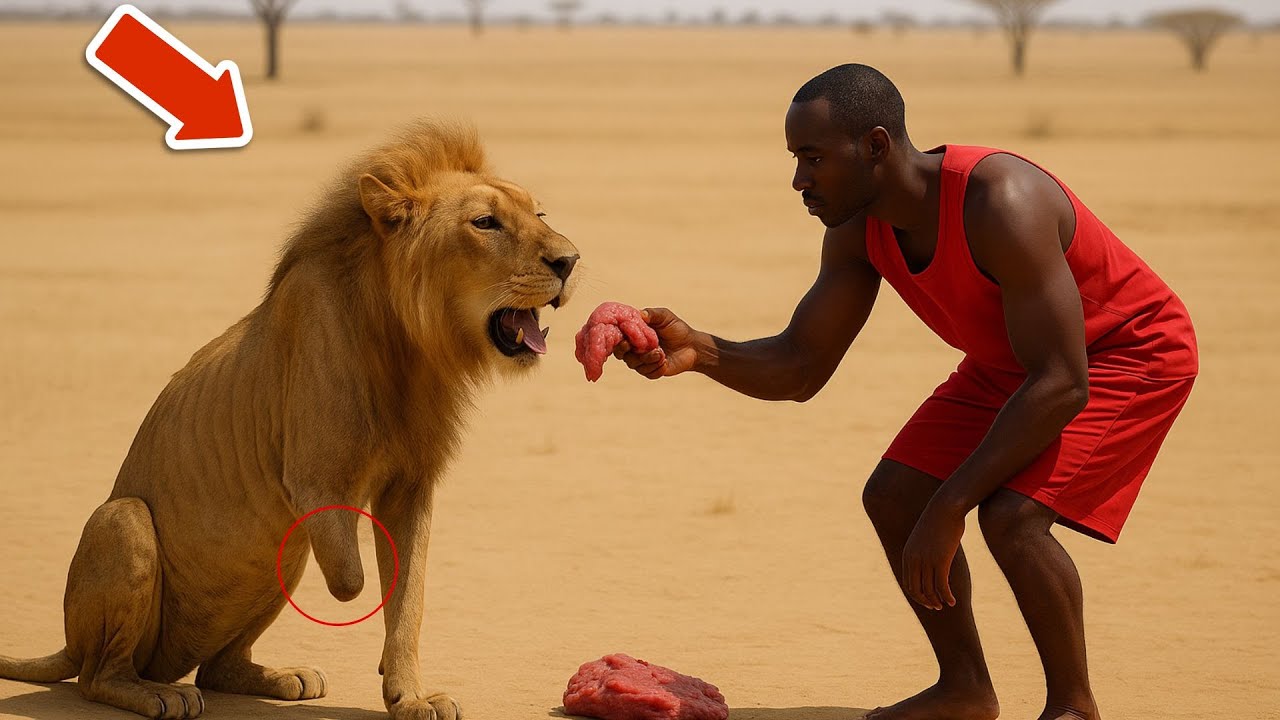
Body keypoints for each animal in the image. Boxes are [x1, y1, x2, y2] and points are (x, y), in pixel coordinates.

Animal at [0, 120, 579, 720]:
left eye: (539, 212)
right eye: (485, 222)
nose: (571, 261)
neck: (410, 345)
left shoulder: (412, 486)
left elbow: (410, 595)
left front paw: (408, 694)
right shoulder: (312, 479)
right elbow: (351, 577)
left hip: (280, 562)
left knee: (217, 667)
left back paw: (281, 678)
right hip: (123, 521)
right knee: (99, 674)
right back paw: (159, 694)